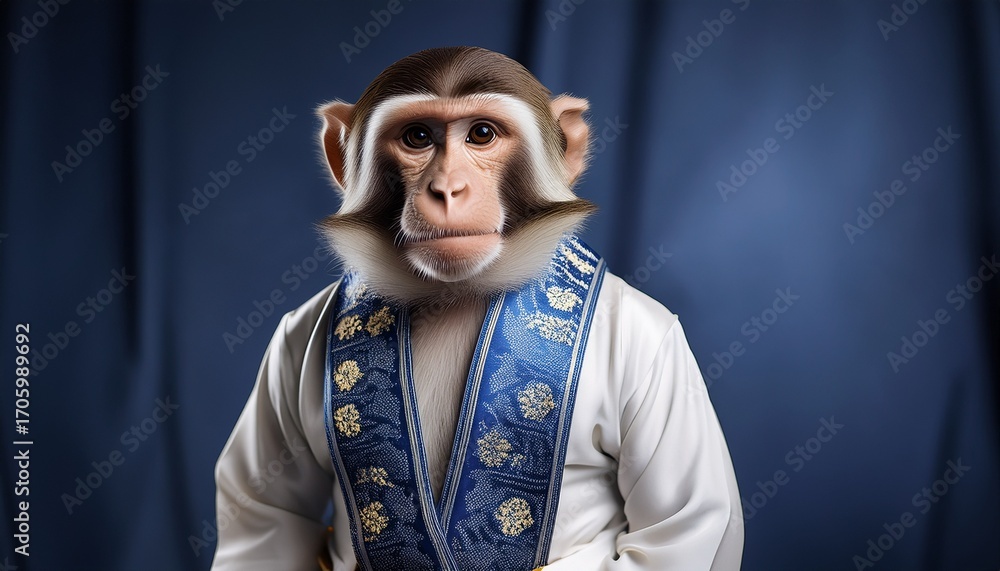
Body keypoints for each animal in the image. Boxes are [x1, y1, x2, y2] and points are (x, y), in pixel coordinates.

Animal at [213, 47, 743, 571]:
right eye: (417, 136)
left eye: (481, 134)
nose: (447, 188)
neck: (458, 292)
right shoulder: (291, 336)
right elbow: (270, 511)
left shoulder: (656, 341)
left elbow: (677, 521)